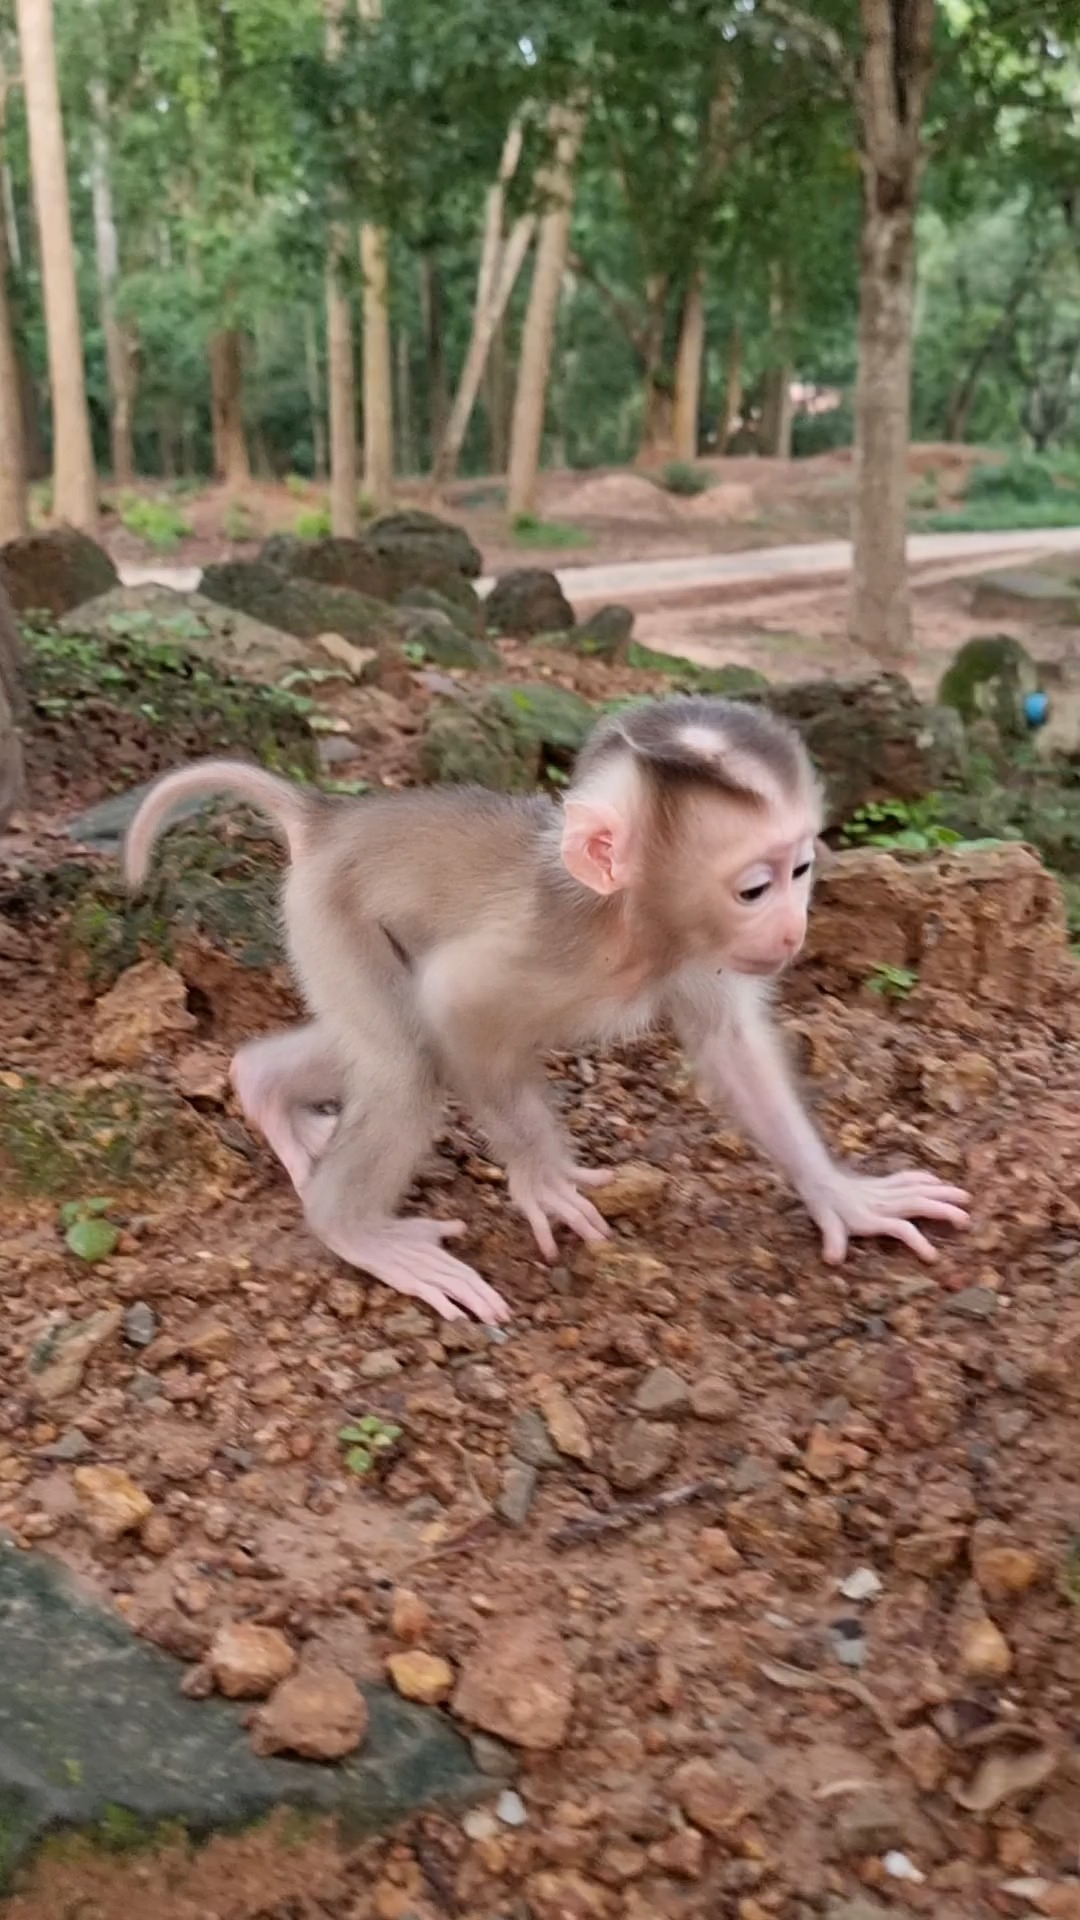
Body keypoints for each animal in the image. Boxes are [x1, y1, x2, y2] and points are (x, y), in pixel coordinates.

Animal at [123, 695, 970, 1324]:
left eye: (802, 870)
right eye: (755, 888)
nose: (793, 931)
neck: (632, 930)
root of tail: (331, 817)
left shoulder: (696, 954)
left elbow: (731, 1046)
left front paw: (840, 1196)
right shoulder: (554, 947)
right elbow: (452, 1006)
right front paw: (544, 1175)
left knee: (367, 1046)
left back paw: (264, 1087)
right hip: (327, 912)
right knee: (406, 1060)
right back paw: (354, 1230)